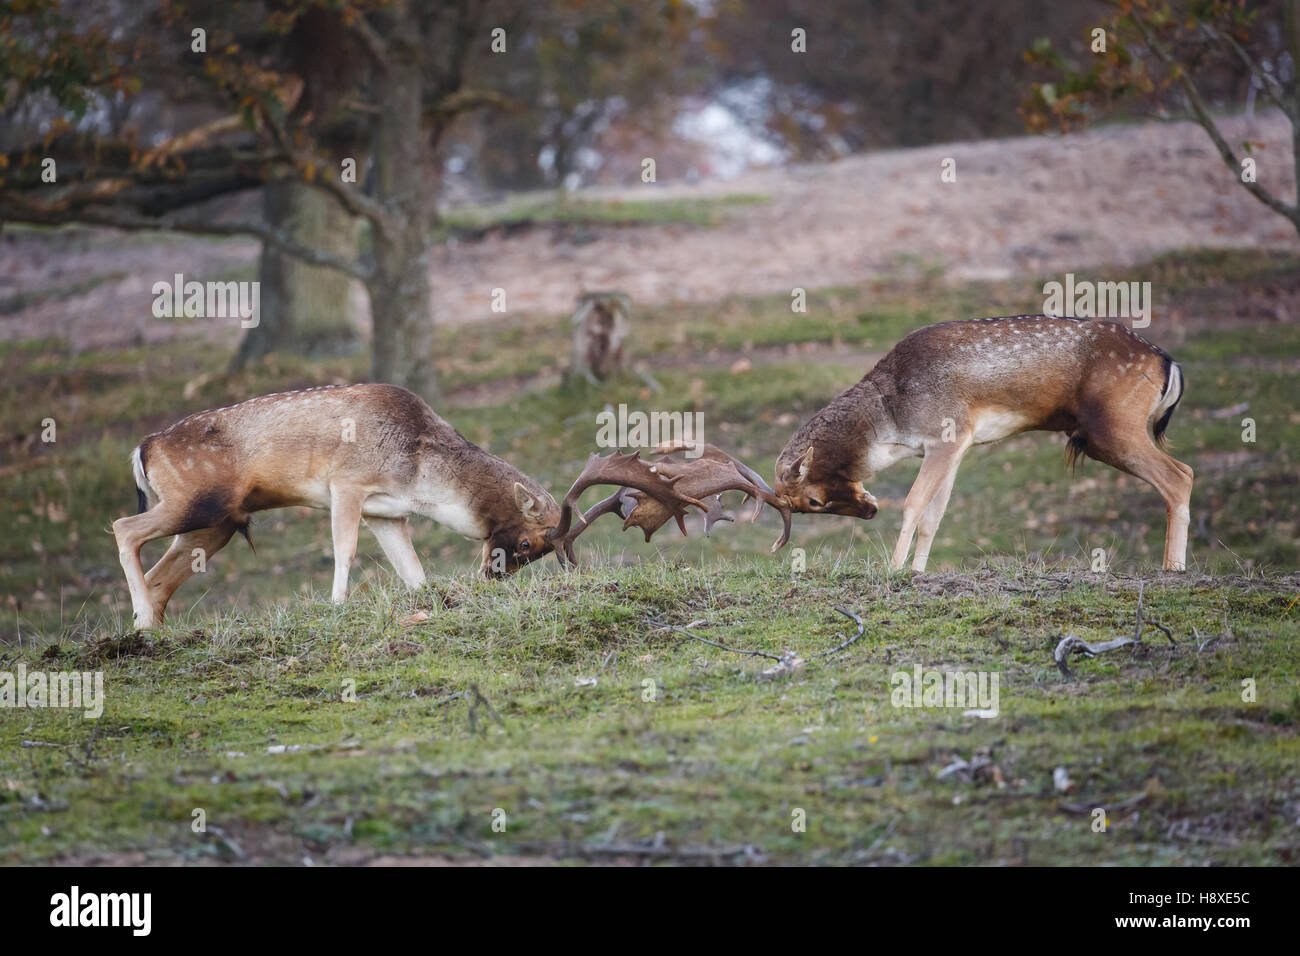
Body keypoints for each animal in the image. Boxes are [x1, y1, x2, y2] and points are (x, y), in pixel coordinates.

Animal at [112, 383, 562, 629]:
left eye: (539, 552)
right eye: (526, 544)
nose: (492, 575)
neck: (418, 475)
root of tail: (144, 448)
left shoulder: (387, 512)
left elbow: (412, 570)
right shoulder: (346, 481)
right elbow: (345, 549)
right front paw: (337, 604)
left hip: (217, 523)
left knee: (158, 576)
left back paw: (149, 628)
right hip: (195, 502)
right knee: (123, 527)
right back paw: (143, 621)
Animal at [773, 314, 1192, 573]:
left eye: (812, 501)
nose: (870, 510)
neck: (893, 421)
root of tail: (1168, 364)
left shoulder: (947, 433)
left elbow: (912, 505)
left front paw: (892, 570)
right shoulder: (956, 447)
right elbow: (934, 517)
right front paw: (915, 572)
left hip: (1111, 427)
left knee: (1180, 475)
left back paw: (1172, 569)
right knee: (1184, 471)